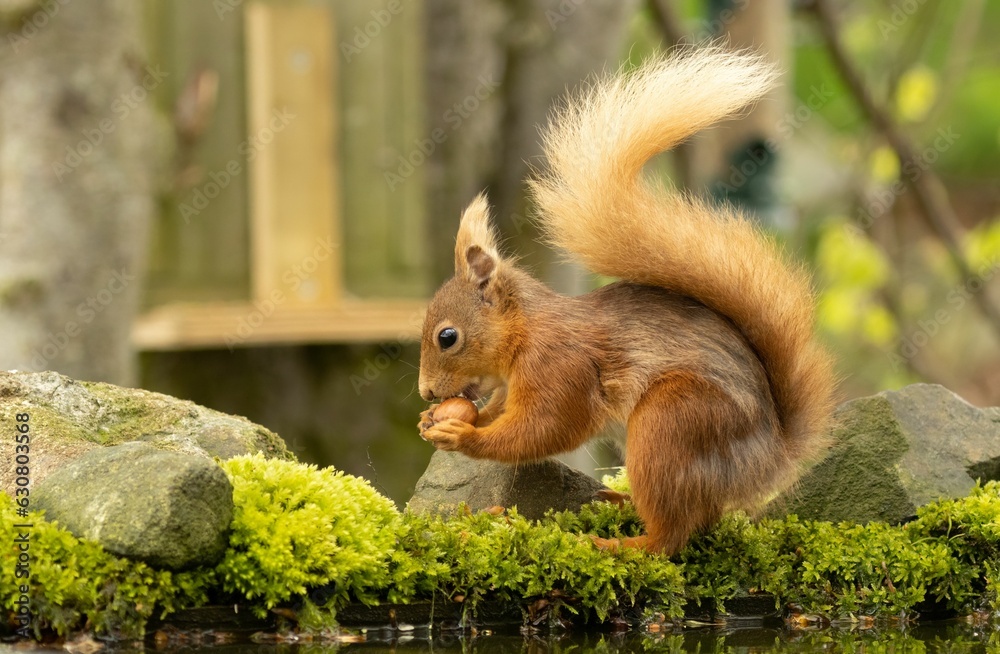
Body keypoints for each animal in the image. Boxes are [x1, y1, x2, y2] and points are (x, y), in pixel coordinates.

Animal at [416, 48, 836, 555]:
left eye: (448, 336)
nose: (426, 392)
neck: (525, 332)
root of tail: (770, 458)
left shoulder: (563, 368)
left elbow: (545, 428)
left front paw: (462, 434)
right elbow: (502, 410)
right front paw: (435, 420)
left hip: (672, 421)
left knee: (671, 537)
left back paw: (620, 544)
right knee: (699, 517)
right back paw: (615, 503)